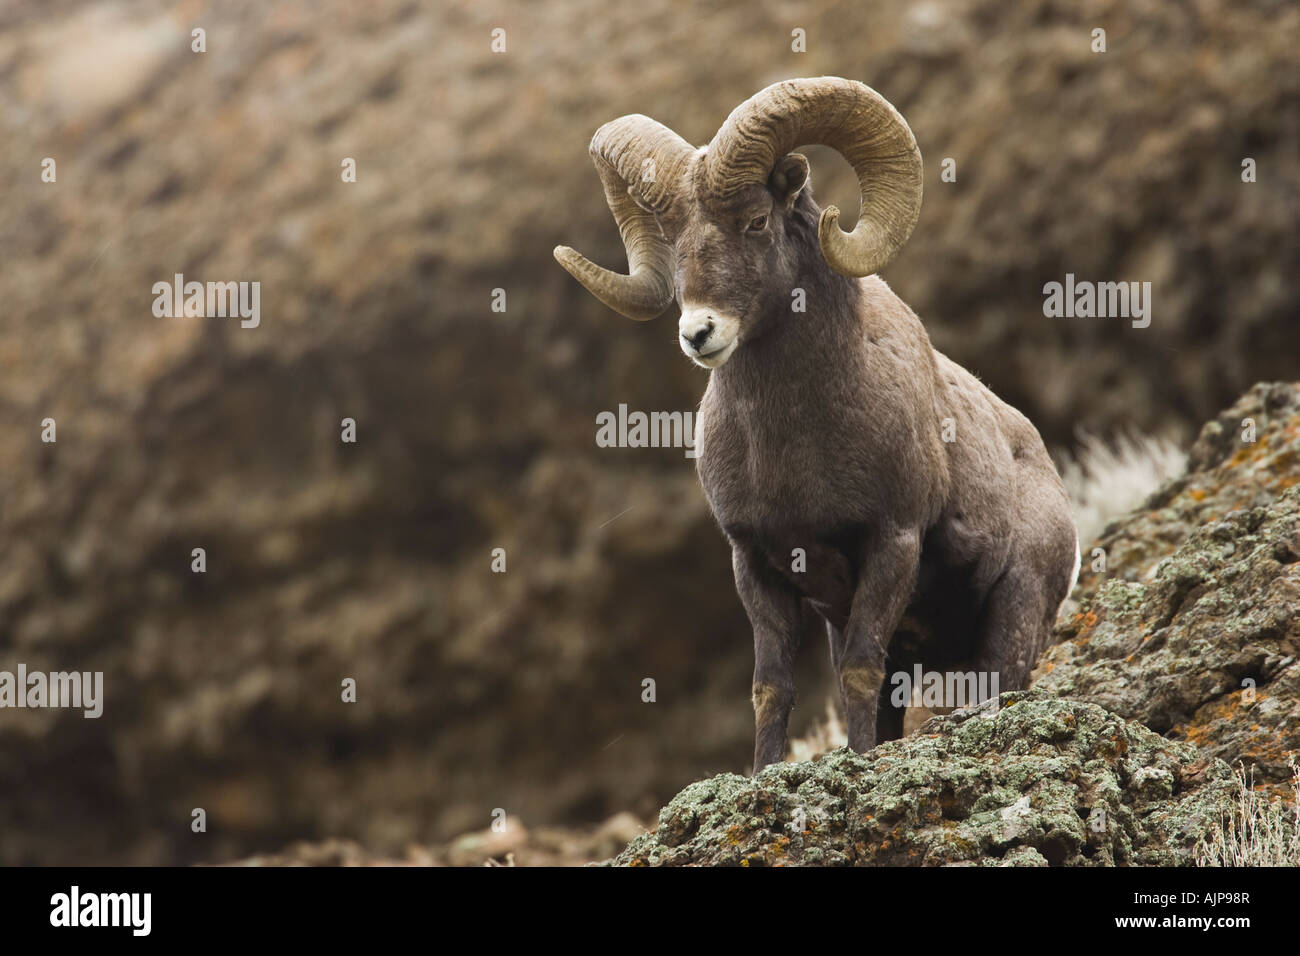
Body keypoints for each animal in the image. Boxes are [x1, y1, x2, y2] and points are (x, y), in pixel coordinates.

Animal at [555, 77, 1080, 773]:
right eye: (673, 236)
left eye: (756, 220)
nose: (699, 334)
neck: (794, 445)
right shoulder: (757, 565)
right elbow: (771, 687)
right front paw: (763, 776)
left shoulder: (891, 544)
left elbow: (859, 670)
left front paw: (857, 764)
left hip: (1012, 617)